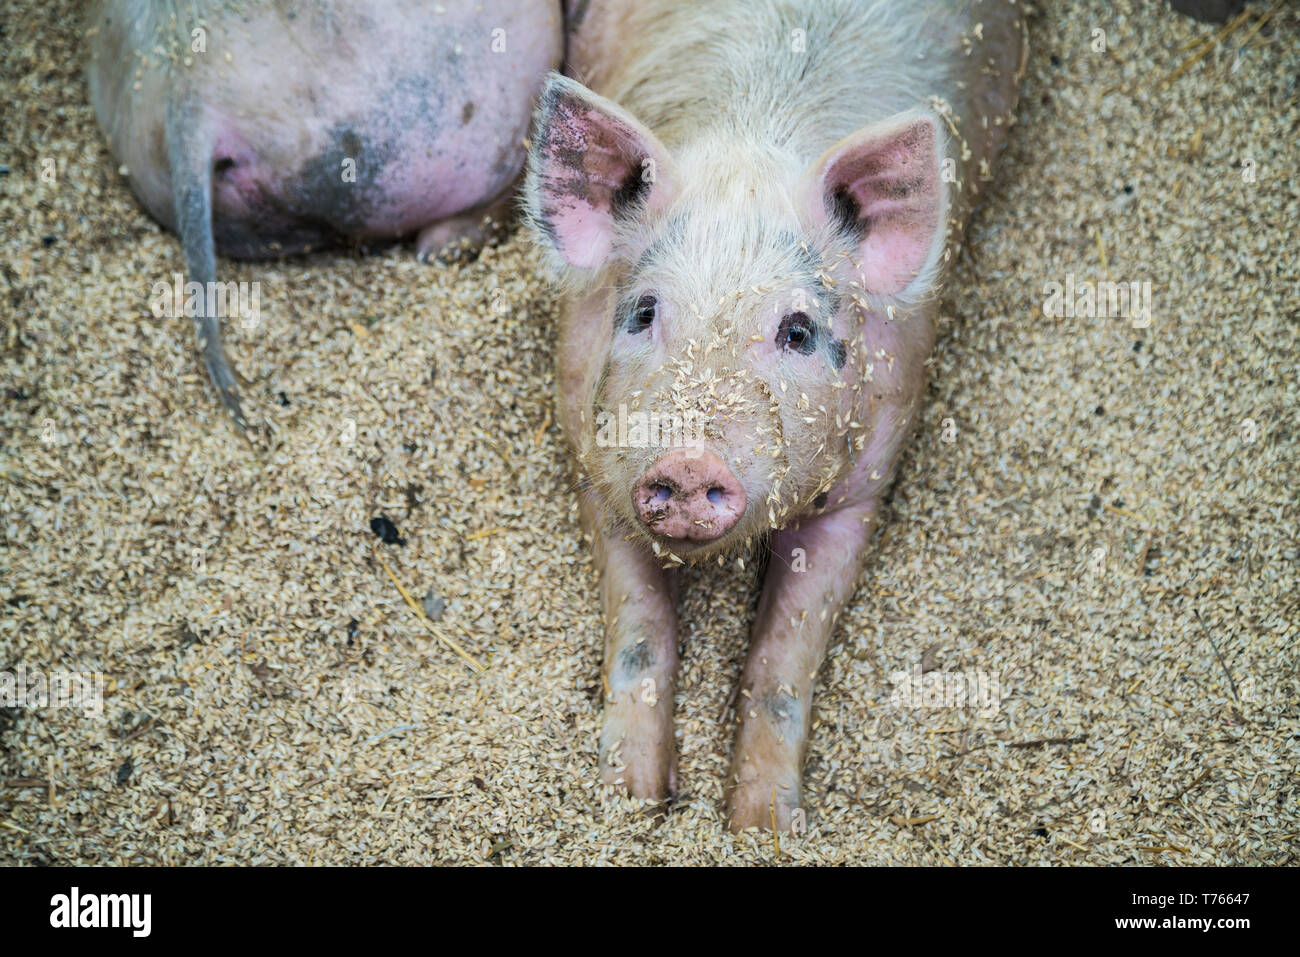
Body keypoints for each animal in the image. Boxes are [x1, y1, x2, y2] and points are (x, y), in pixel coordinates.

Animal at [524, 0, 1026, 831]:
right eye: (643, 312)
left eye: (797, 330)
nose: (687, 460)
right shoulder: (592, 452)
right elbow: (639, 633)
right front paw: (631, 802)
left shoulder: (867, 479)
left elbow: (785, 658)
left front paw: (762, 827)